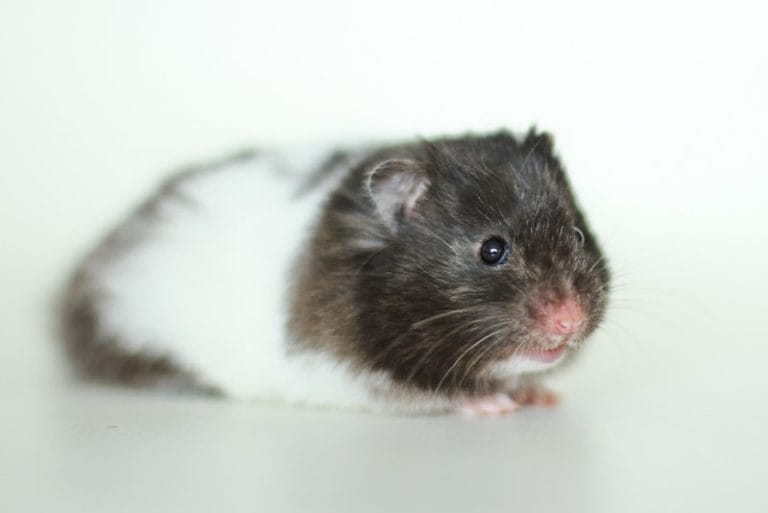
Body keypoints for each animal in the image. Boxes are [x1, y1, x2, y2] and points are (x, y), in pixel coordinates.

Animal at [60, 129, 610, 415]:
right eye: (492, 250)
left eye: (578, 234)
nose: (571, 321)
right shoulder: (348, 369)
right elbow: (431, 391)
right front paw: (494, 404)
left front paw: (541, 395)